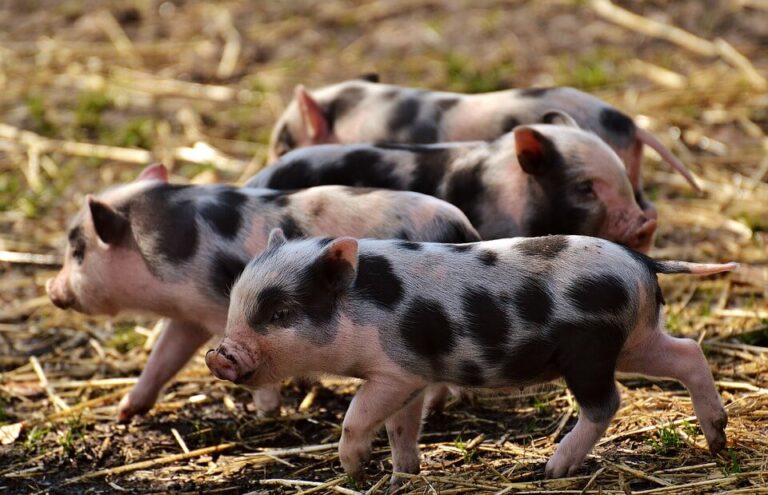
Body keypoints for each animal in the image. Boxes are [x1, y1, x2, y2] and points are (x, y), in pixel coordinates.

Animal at [46, 163, 480, 422]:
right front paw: (125, 413)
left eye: (78, 250)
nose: (52, 289)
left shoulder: (215, 308)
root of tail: (463, 228)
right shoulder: (189, 315)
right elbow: (162, 359)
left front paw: (267, 412)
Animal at [208, 228, 734, 485]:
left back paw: (553, 470)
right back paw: (717, 441)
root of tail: (641, 261)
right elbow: (402, 427)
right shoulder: (414, 376)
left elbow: (357, 418)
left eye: (280, 312)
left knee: (606, 403)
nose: (220, 355)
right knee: (688, 352)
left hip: (588, 350)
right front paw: (403, 475)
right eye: (236, 302)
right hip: (635, 339)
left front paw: (356, 471)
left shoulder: (394, 373)